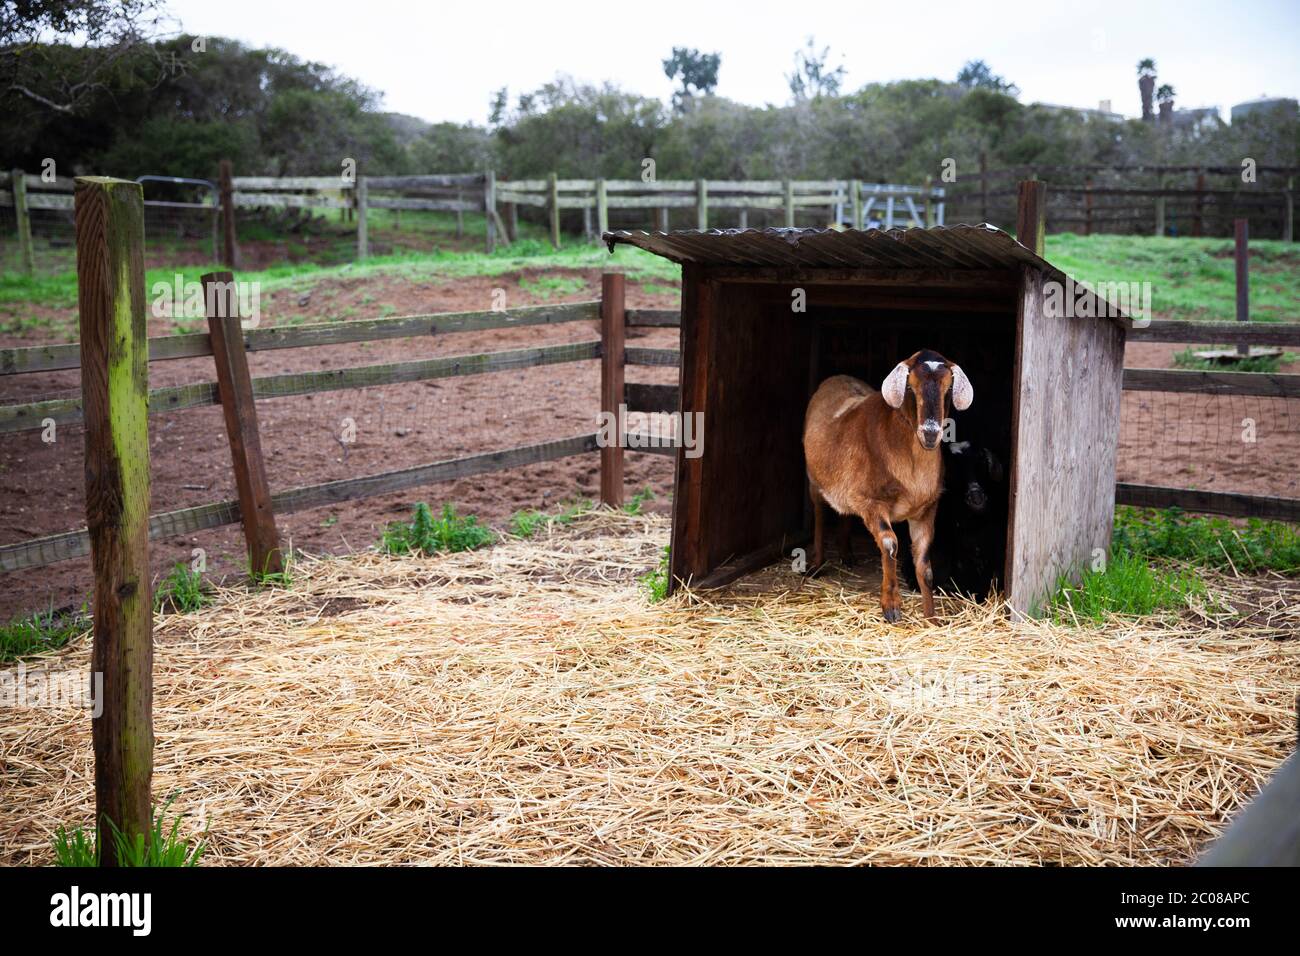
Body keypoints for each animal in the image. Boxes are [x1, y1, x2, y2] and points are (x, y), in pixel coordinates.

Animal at [802, 350, 973, 623]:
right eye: (910, 387)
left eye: (948, 388)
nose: (930, 432)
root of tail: (837, 378)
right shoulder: (871, 502)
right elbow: (889, 544)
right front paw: (891, 607)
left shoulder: (926, 510)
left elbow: (925, 565)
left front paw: (931, 618)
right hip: (814, 479)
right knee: (819, 514)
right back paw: (817, 564)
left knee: (843, 512)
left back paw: (846, 555)